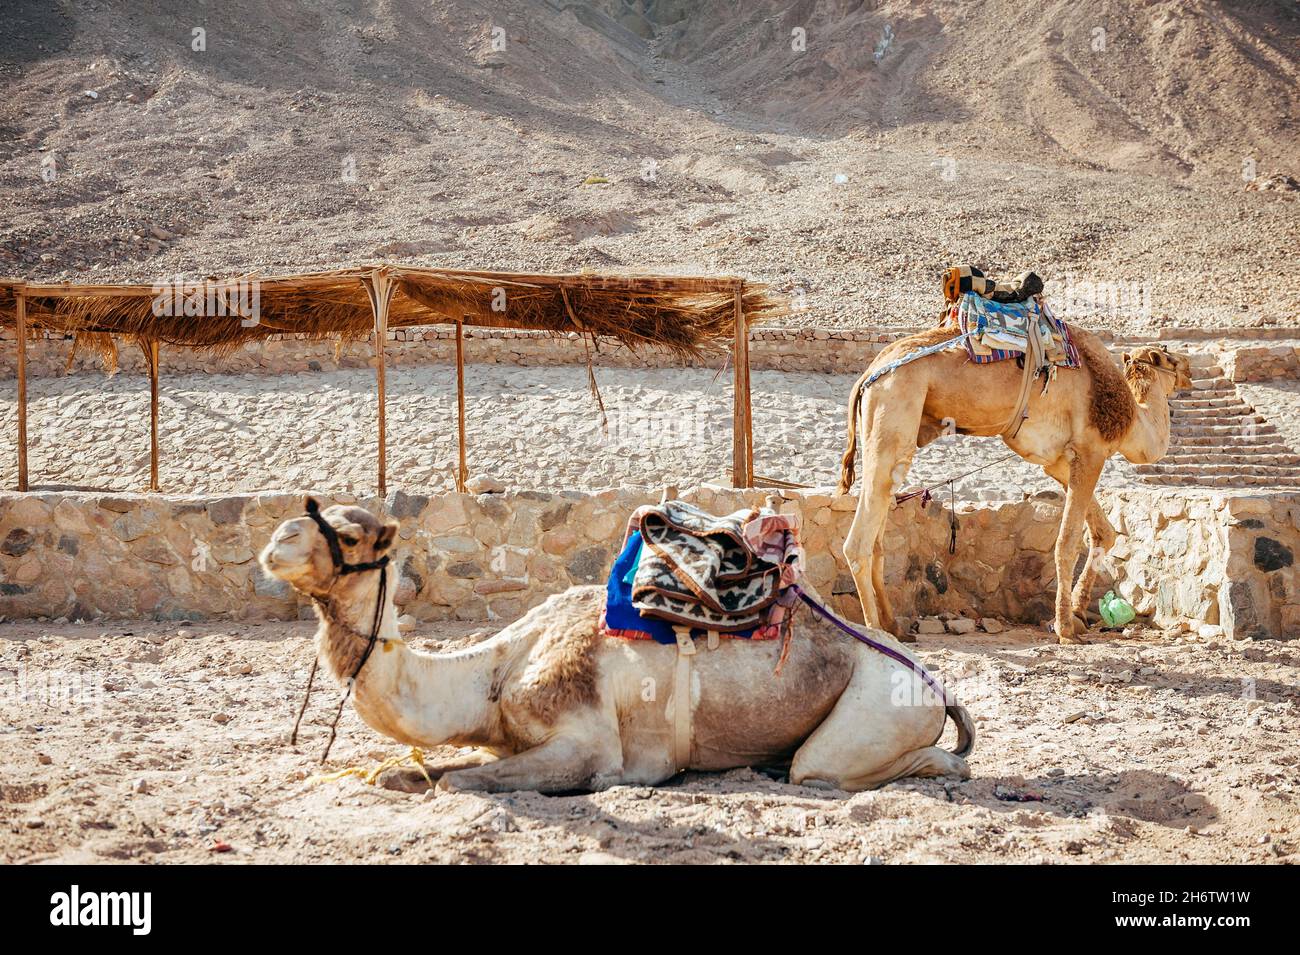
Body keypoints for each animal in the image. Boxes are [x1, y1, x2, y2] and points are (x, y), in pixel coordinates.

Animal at [259, 499, 975, 794]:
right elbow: (437, 768)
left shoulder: (588, 743)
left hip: (879, 707)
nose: (279, 539)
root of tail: (935, 685)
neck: (496, 672)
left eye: (353, 536)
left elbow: (464, 779)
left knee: (833, 766)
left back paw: (938, 764)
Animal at [836, 328, 1192, 644]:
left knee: (880, 521)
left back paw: (895, 627)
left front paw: (1077, 615)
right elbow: (1067, 542)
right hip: (895, 405)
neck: (1131, 420)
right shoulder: (1090, 451)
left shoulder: (1058, 461)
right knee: (860, 537)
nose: (1188, 369)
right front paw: (1065, 628)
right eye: (1168, 357)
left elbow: (1104, 531)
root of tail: (867, 376)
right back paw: (876, 631)